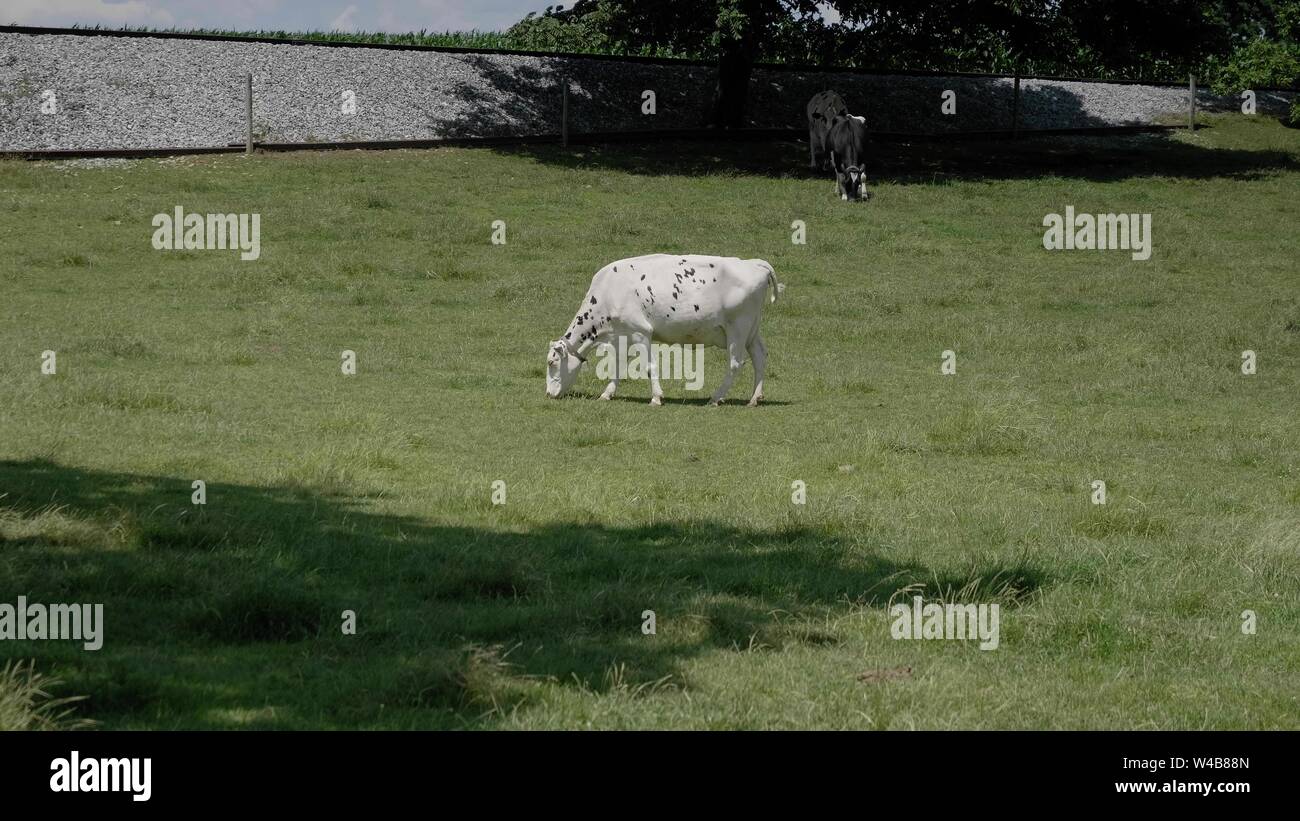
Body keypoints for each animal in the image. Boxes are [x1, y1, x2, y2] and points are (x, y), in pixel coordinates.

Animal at [546, 254, 779, 407]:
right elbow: (617, 366)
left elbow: (649, 366)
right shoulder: (621, 336)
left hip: (738, 328)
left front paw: (656, 397)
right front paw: (607, 394)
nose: (548, 394)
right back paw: (754, 398)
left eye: (552, 363)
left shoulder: (640, 332)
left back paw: (715, 397)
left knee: (735, 363)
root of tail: (756, 263)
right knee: (760, 356)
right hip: (752, 331)